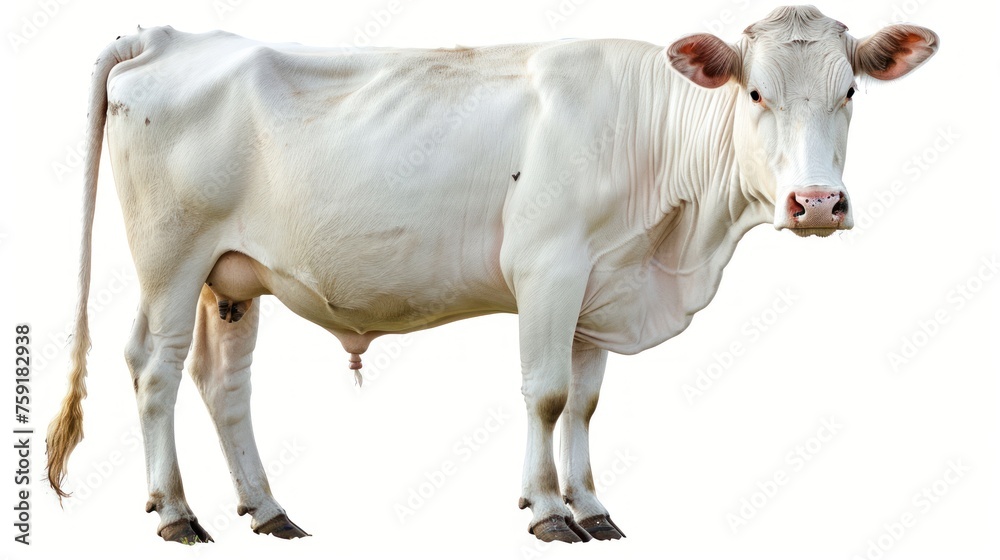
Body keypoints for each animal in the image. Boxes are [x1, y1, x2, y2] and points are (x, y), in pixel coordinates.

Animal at [46, 5, 937, 545]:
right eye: (754, 93)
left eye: (850, 91)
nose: (816, 202)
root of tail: (170, 34)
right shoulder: (548, 266)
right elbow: (544, 394)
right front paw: (546, 510)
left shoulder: (599, 285)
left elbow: (584, 401)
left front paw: (592, 505)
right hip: (169, 257)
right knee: (154, 370)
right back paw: (176, 512)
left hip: (229, 277)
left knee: (222, 382)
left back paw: (268, 511)